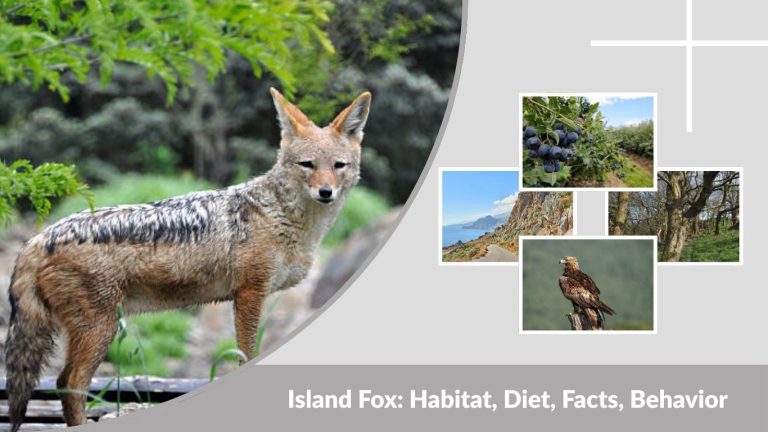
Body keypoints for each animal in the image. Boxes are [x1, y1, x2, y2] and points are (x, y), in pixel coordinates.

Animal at [4, 88, 372, 430]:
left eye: (338, 166)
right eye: (307, 165)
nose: (326, 192)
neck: (281, 217)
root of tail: (37, 239)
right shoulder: (250, 294)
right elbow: (246, 355)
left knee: (64, 382)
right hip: (100, 330)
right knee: (70, 383)